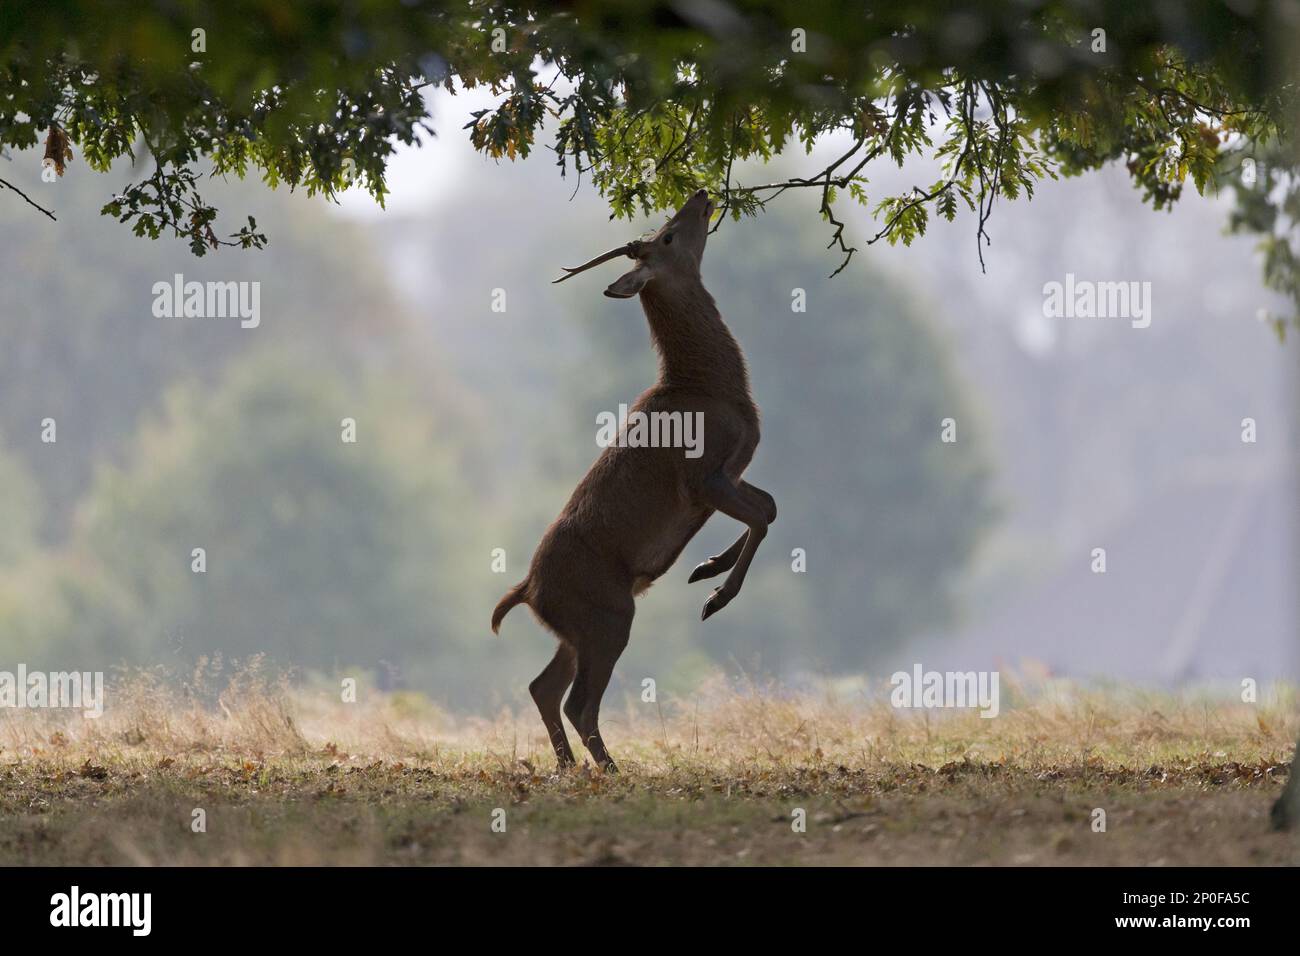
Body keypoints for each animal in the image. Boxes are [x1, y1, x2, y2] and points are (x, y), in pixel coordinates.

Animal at [491, 189, 775, 773]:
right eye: (667, 235)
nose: (701, 194)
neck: (709, 386)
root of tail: (529, 590)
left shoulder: (732, 472)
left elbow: (772, 505)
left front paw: (705, 567)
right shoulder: (703, 477)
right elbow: (762, 515)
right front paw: (716, 596)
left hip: (577, 628)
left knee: (541, 687)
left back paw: (569, 766)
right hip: (611, 613)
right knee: (577, 701)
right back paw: (610, 768)